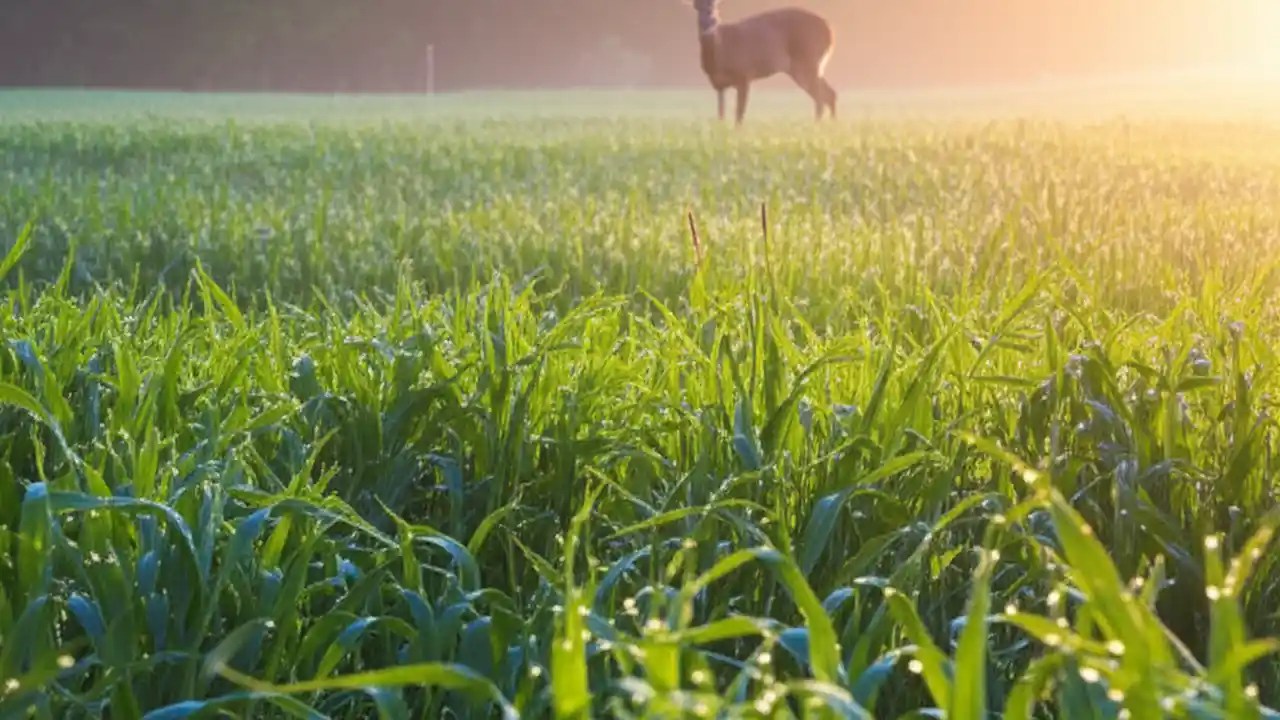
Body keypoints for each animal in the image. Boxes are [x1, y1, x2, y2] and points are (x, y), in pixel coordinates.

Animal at [689, 0, 837, 125]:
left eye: (715, 7)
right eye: (696, 6)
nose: (710, 20)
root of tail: (829, 29)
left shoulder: (744, 74)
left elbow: (739, 113)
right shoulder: (718, 84)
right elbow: (721, 114)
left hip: (808, 59)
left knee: (821, 97)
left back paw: (817, 126)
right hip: (803, 68)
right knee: (828, 94)